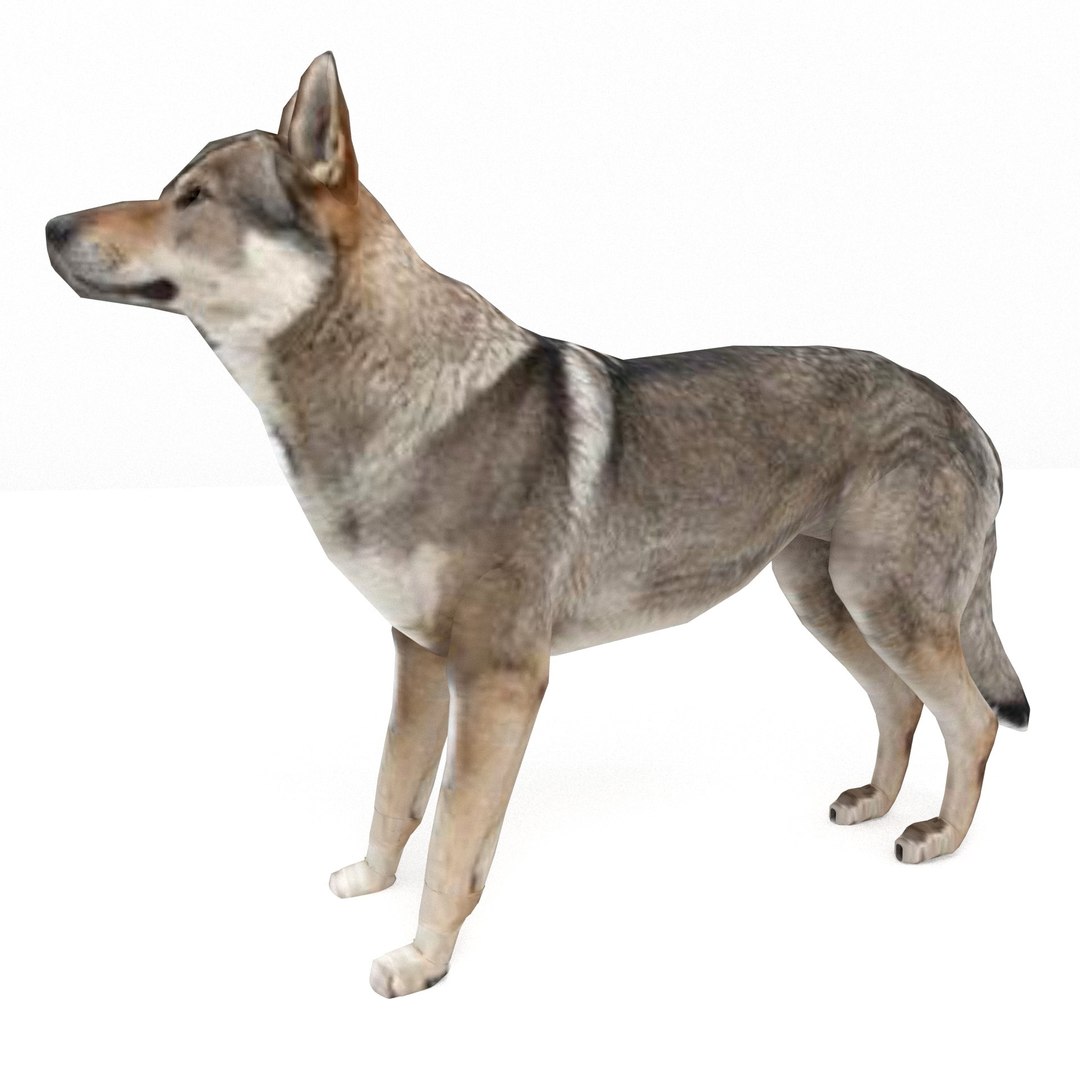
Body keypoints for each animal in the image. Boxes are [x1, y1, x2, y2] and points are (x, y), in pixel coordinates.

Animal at [46, 52, 1028, 997]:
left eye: (194, 198)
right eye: (171, 188)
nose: (50, 226)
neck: (391, 405)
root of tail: (966, 412)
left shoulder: (501, 679)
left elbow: (450, 837)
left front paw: (421, 963)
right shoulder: (420, 660)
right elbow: (396, 794)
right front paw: (372, 882)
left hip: (880, 603)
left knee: (973, 720)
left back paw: (938, 837)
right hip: (825, 599)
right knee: (903, 703)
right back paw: (875, 804)